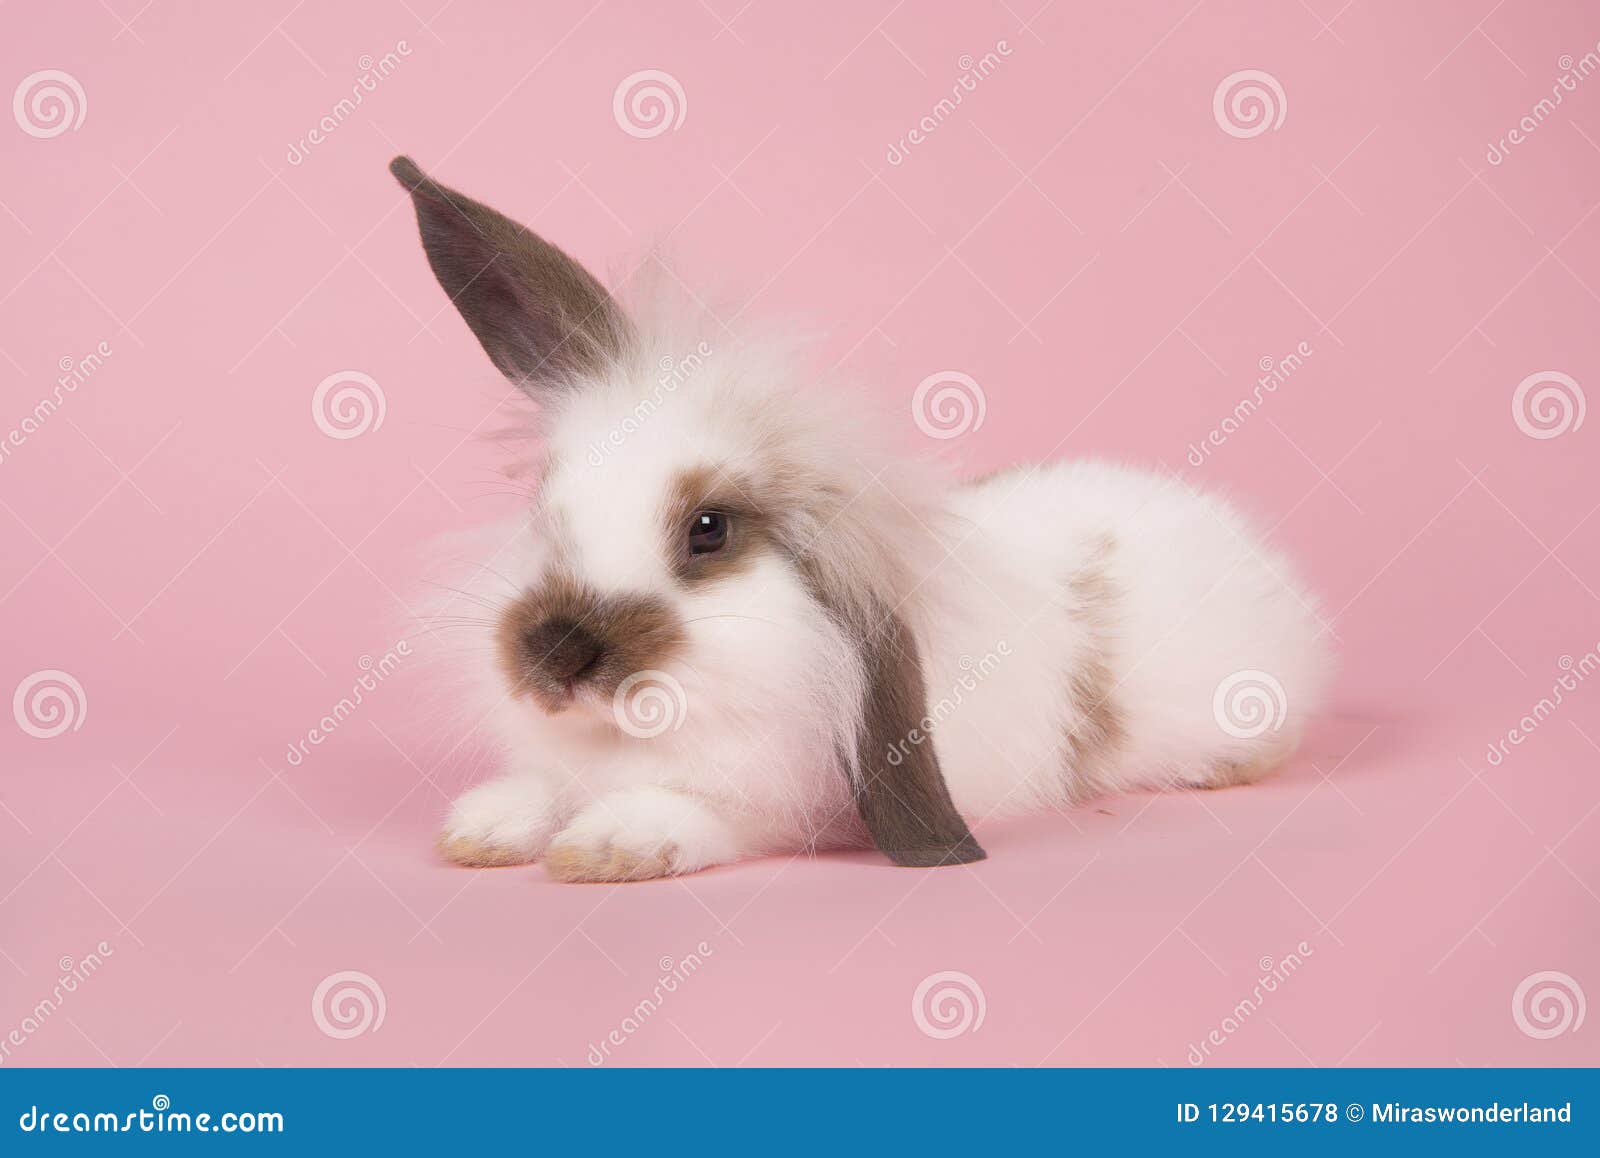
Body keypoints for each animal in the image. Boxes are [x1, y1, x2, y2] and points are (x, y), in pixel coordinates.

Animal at [390, 156, 1332, 883]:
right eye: (544, 507)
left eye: (709, 529)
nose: (553, 656)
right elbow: (545, 790)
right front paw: (483, 827)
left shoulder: (794, 805)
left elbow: (704, 813)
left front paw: (614, 844)